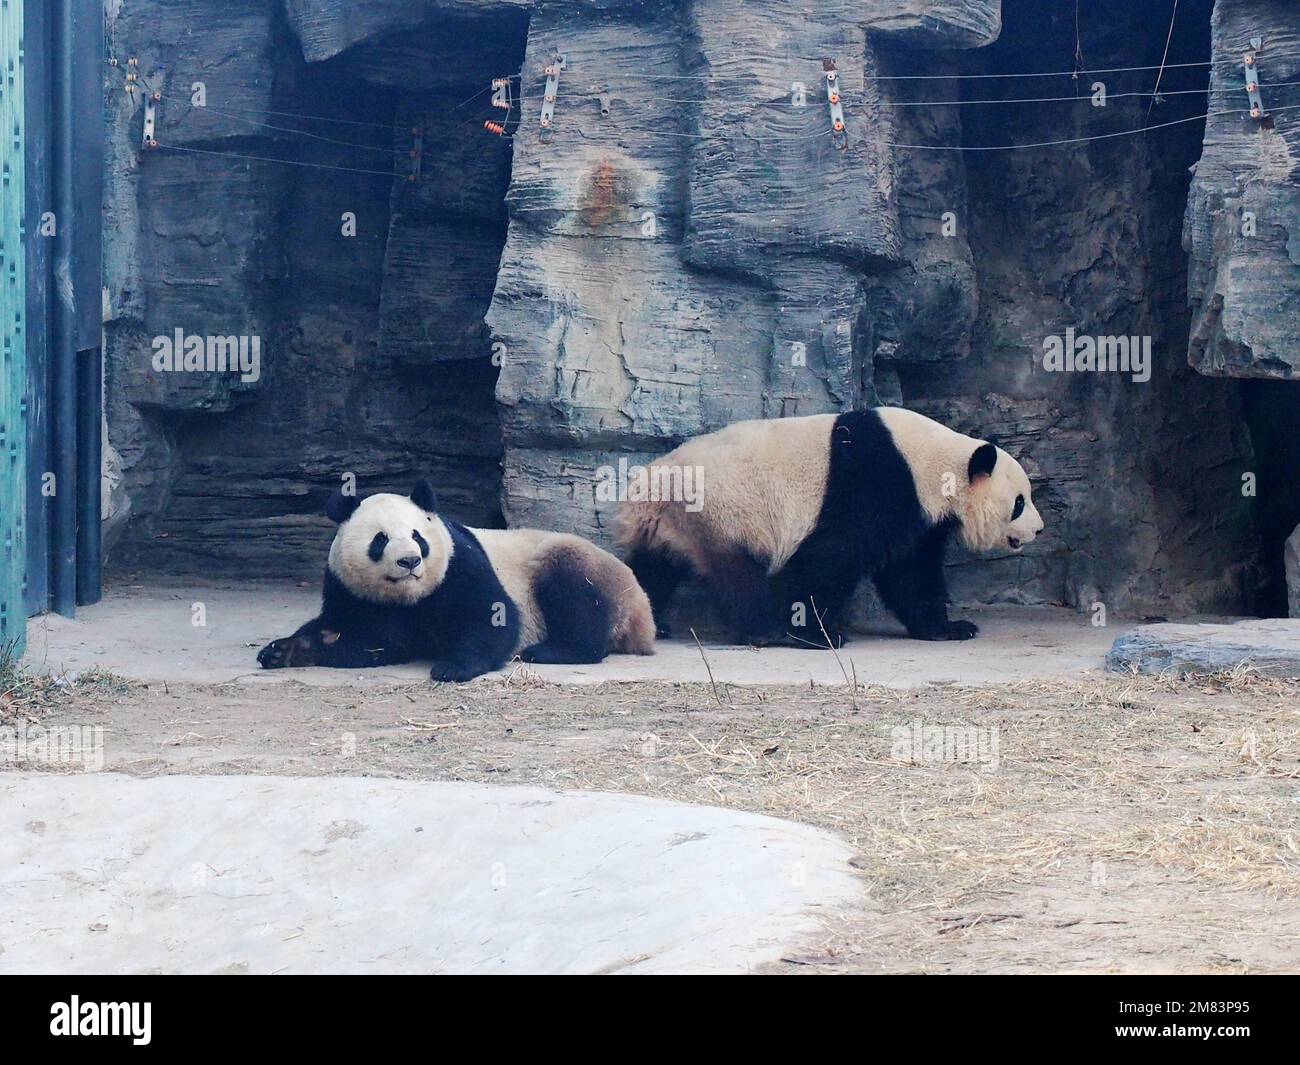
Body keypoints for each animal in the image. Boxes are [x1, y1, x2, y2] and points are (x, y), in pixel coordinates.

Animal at [259, 479, 655, 682]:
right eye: (380, 540)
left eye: (417, 536)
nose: (409, 561)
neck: (409, 597)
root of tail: (643, 613)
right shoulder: (351, 592)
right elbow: (364, 639)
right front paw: (283, 650)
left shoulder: (458, 563)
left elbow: (492, 616)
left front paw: (453, 666)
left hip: (577, 565)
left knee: (576, 591)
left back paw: (552, 650)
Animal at [614, 407, 1044, 647]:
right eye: (1020, 502)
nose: (1038, 530)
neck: (938, 463)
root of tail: (647, 488)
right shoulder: (879, 483)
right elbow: (832, 557)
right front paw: (814, 633)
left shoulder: (917, 514)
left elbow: (910, 571)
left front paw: (949, 627)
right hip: (723, 512)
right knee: (738, 575)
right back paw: (761, 630)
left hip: (673, 525)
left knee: (652, 568)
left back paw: (653, 621)